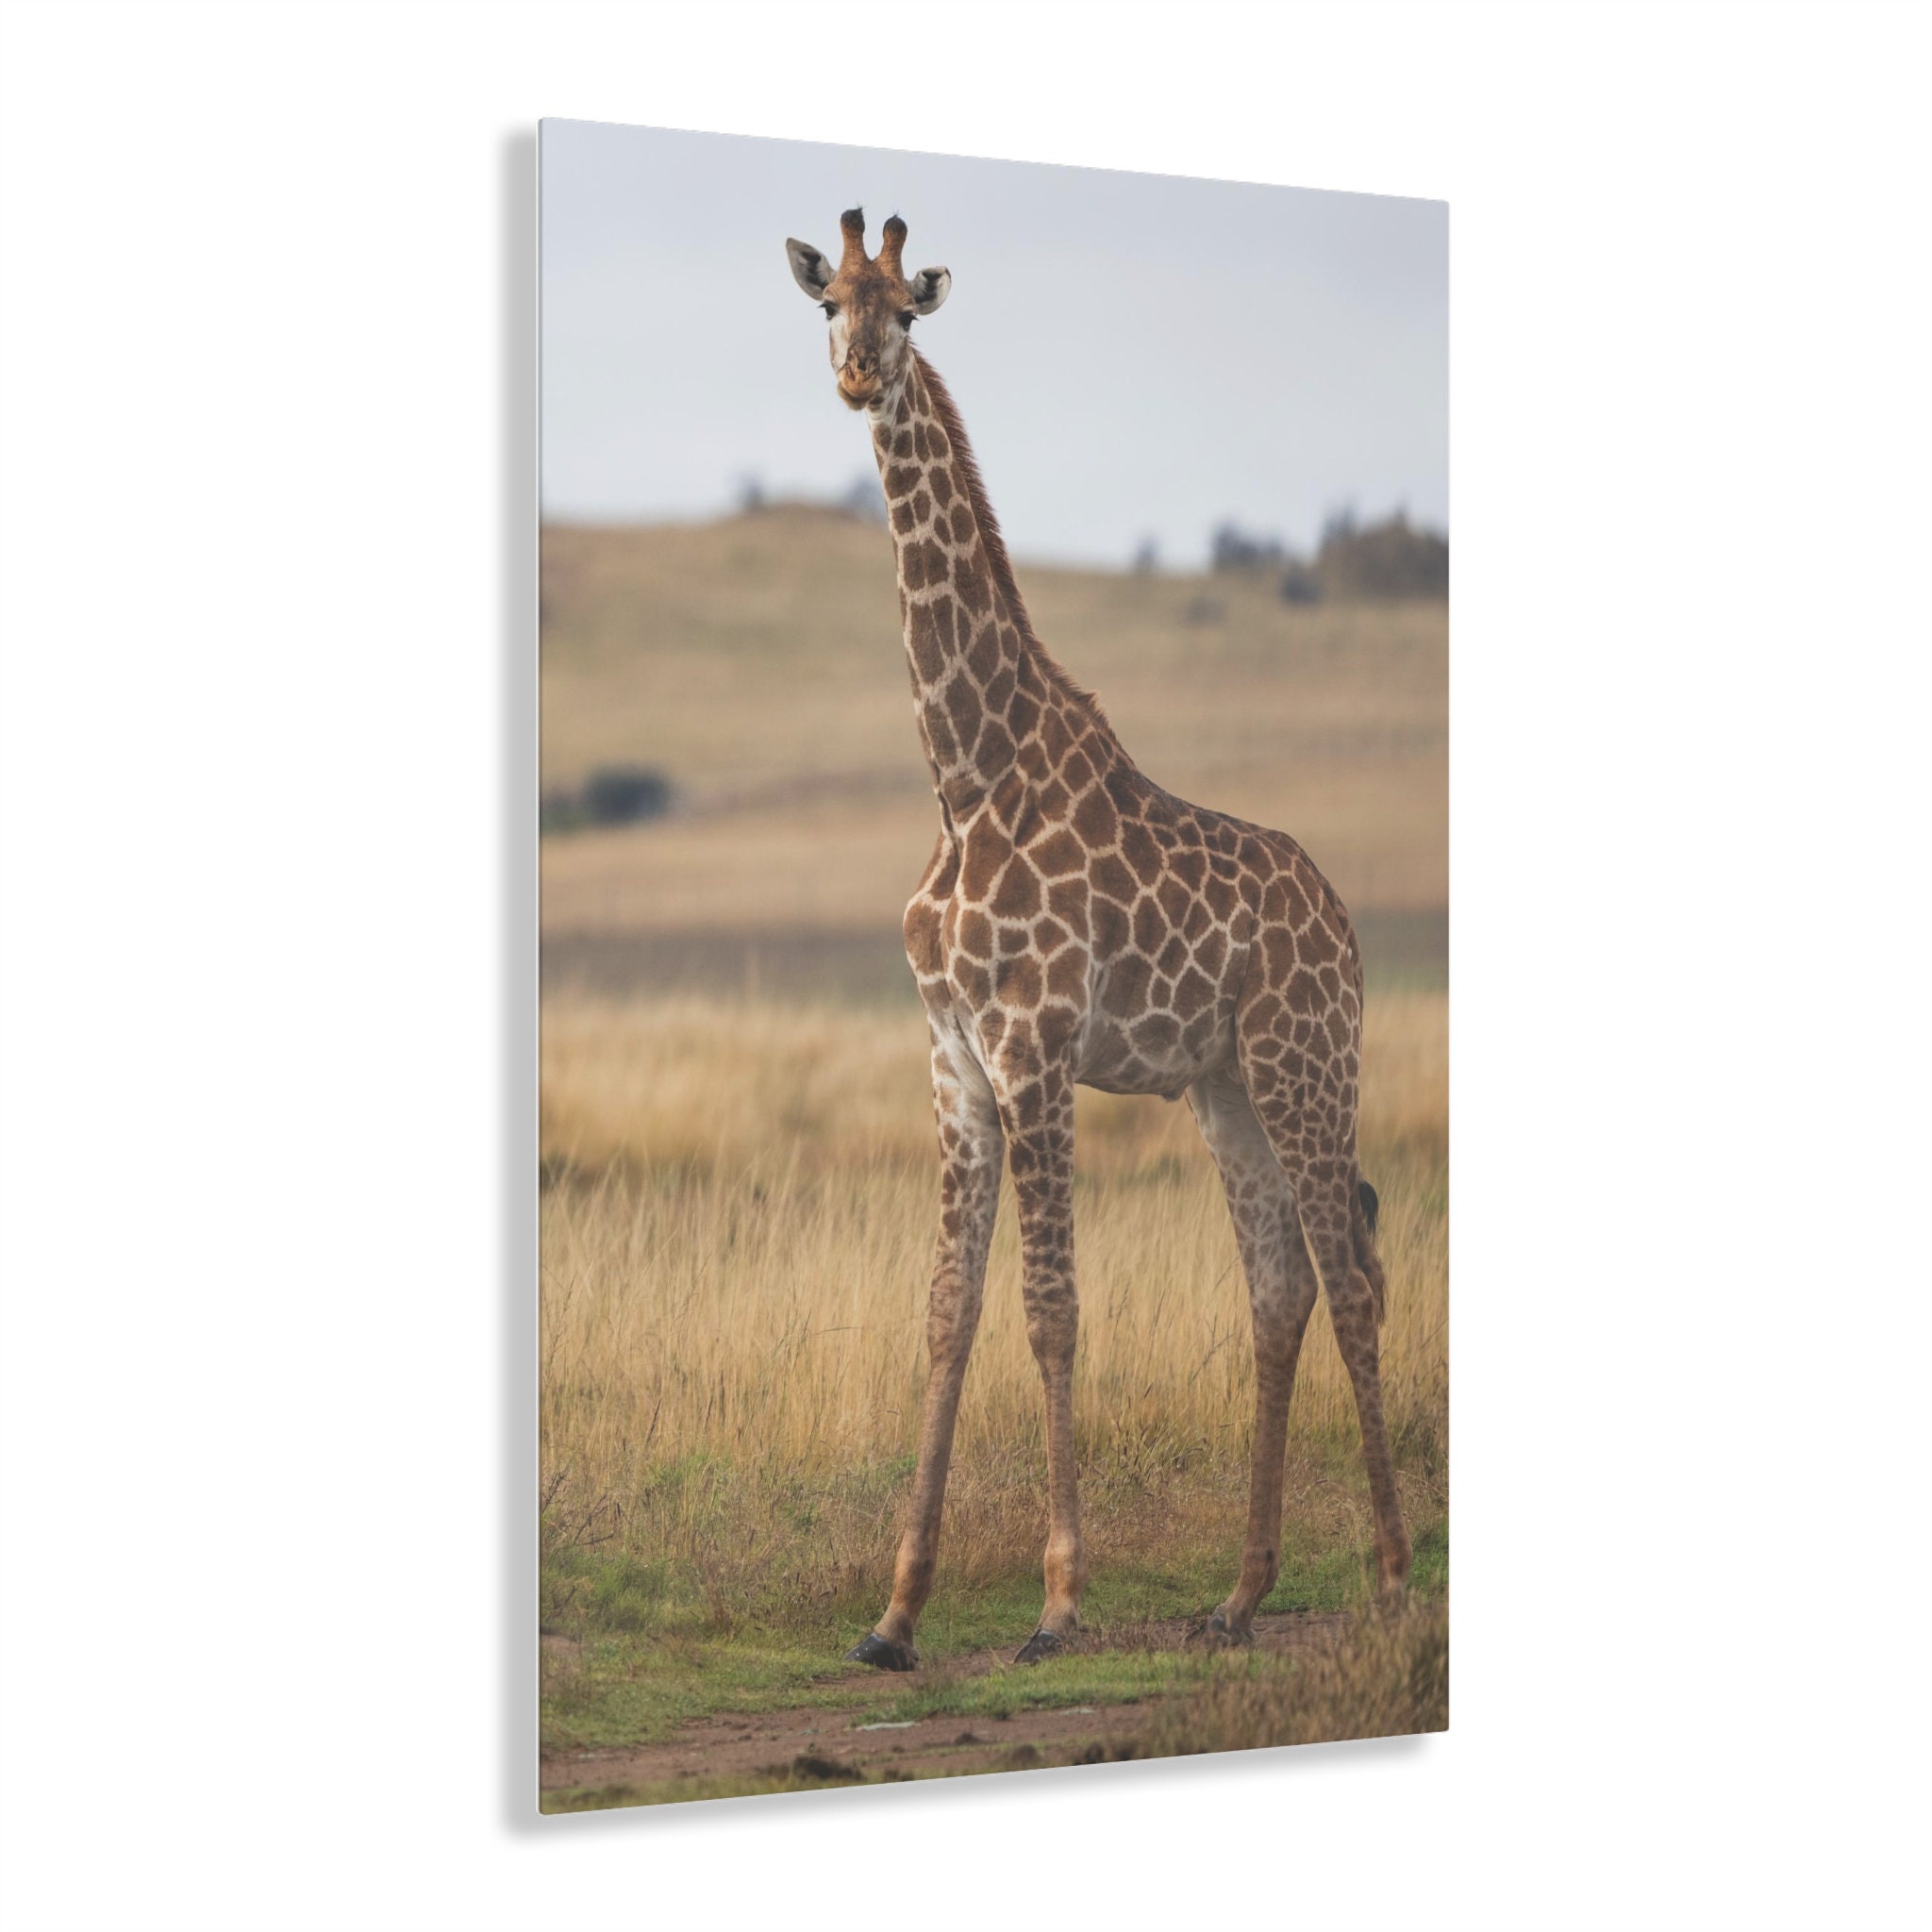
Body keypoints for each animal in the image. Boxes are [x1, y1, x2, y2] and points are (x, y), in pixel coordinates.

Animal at [785, 209, 1410, 1670]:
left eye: (907, 309)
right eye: (829, 302)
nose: (856, 372)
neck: (962, 773)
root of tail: (1347, 930)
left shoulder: (1036, 1043)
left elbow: (1051, 1308)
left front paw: (1058, 1603)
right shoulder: (954, 1059)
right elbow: (947, 1312)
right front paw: (895, 1616)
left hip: (1305, 1064)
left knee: (1350, 1273)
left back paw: (1393, 1572)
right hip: (1225, 1086)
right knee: (1279, 1286)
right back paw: (1238, 1596)